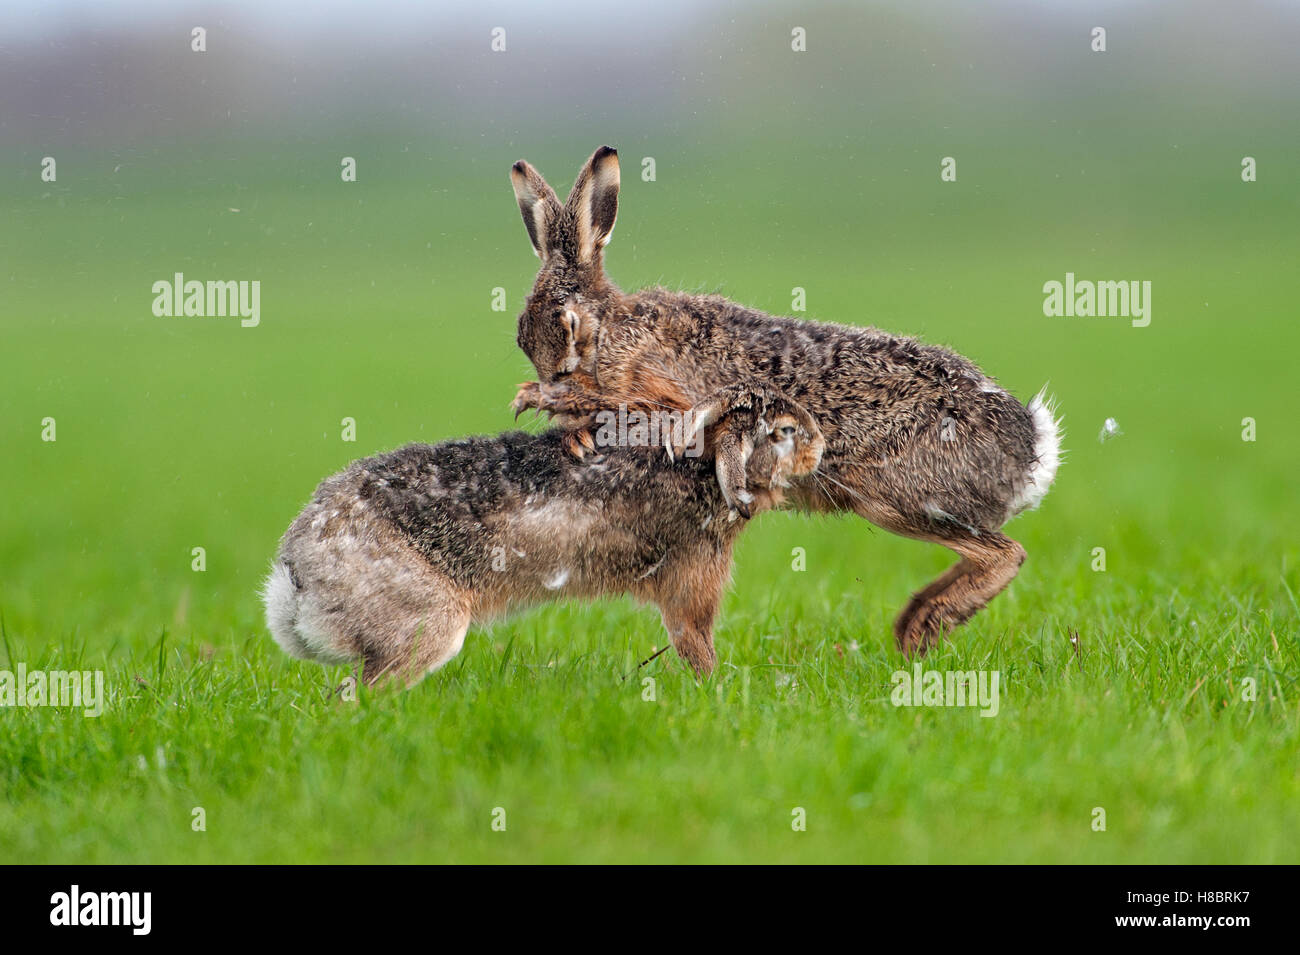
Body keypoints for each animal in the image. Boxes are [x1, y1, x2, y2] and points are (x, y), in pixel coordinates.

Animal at [263, 383, 824, 687]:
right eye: (782, 432)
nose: (819, 445)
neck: (703, 469)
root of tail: (295, 572)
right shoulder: (692, 582)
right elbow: (694, 639)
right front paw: (717, 687)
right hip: (424, 625)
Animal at [509, 146, 1062, 657]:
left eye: (568, 325)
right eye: (521, 334)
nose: (552, 378)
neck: (612, 336)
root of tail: (1031, 448)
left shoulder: (668, 396)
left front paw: (559, 411)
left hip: (894, 497)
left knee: (1004, 553)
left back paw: (923, 625)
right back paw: (914, 625)